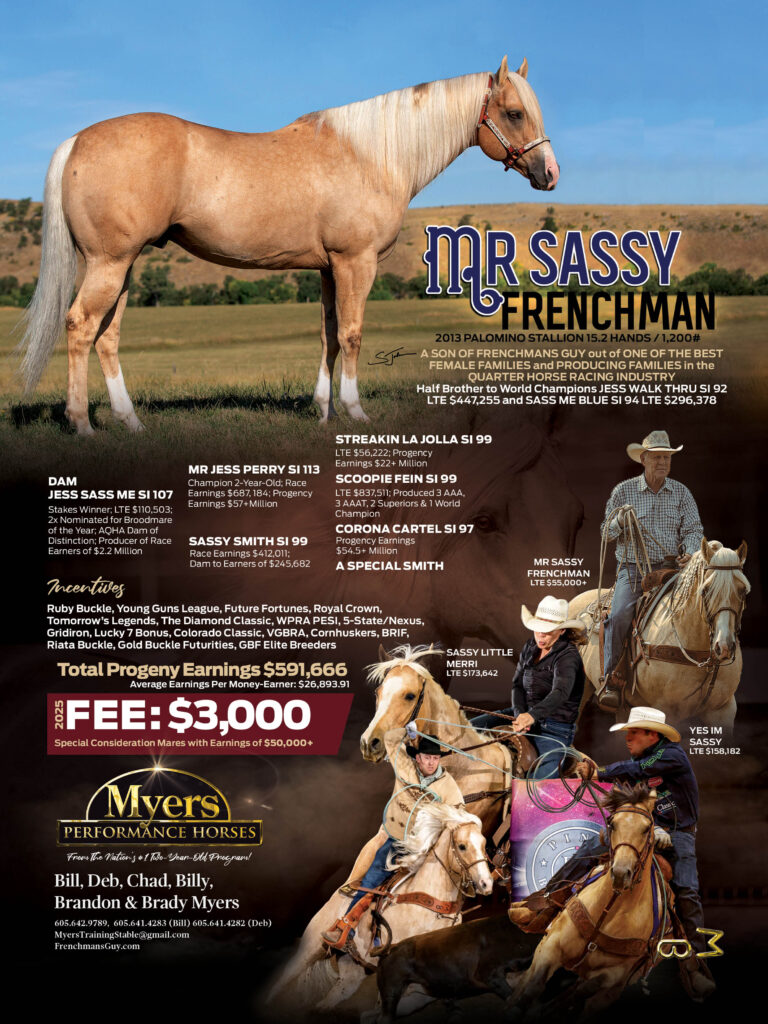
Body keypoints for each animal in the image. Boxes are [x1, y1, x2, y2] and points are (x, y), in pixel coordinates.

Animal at [18, 56, 558, 435]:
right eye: (514, 113)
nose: (549, 174)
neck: (371, 156)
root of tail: (76, 140)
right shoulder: (355, 263)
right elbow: (352, 335)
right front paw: (355, 411)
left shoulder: (328, 268)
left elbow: (328, 337)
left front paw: (322, 411)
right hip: (109, 264)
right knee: (80, 327)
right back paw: (82, 425)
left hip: (122, 267)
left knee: (106, 337)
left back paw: (130, 422)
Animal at [267, 802, 493, 1014]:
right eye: (462, 846)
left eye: (484, 845)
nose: (486, 884)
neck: (433, 908)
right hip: (309, 948)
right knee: (279, 982)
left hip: (353, 972)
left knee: (327, 1001)